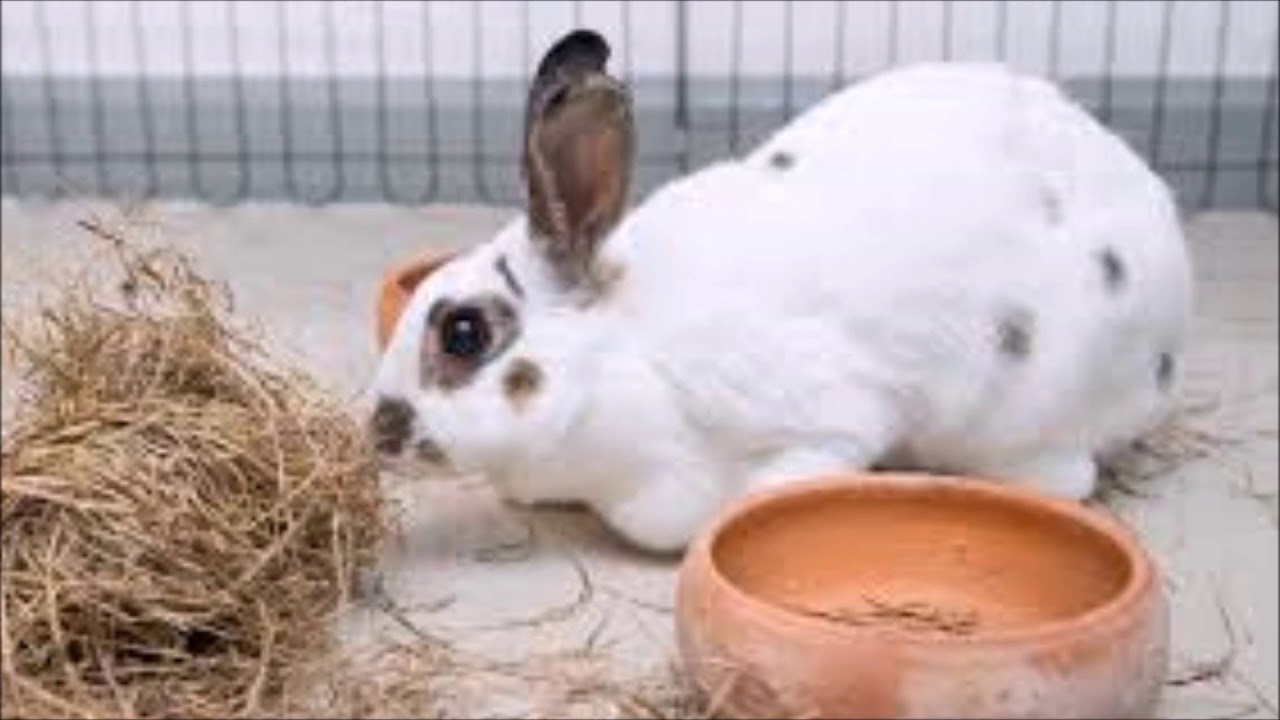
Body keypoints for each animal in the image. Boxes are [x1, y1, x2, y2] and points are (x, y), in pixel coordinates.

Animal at [367, 29, 1192, 553]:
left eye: (464, 333)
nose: (377, 427)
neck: (620, 350)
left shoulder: (828, 421)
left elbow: (775, 480)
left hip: (1029, 406)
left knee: (1069, 472)